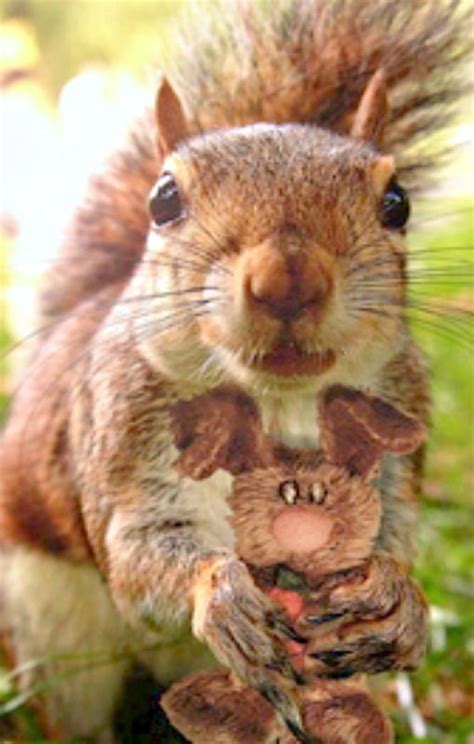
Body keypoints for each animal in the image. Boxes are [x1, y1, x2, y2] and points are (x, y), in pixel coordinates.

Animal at [0, 0, 471, 740]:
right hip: (50, 629)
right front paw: (218, 595)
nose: (288, 280)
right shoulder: (121, 437)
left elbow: (392, 529)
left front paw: (398, 598)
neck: (279, 401)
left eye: (398, 202)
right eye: (163, 199)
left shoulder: (399, 430)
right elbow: (136, 556)